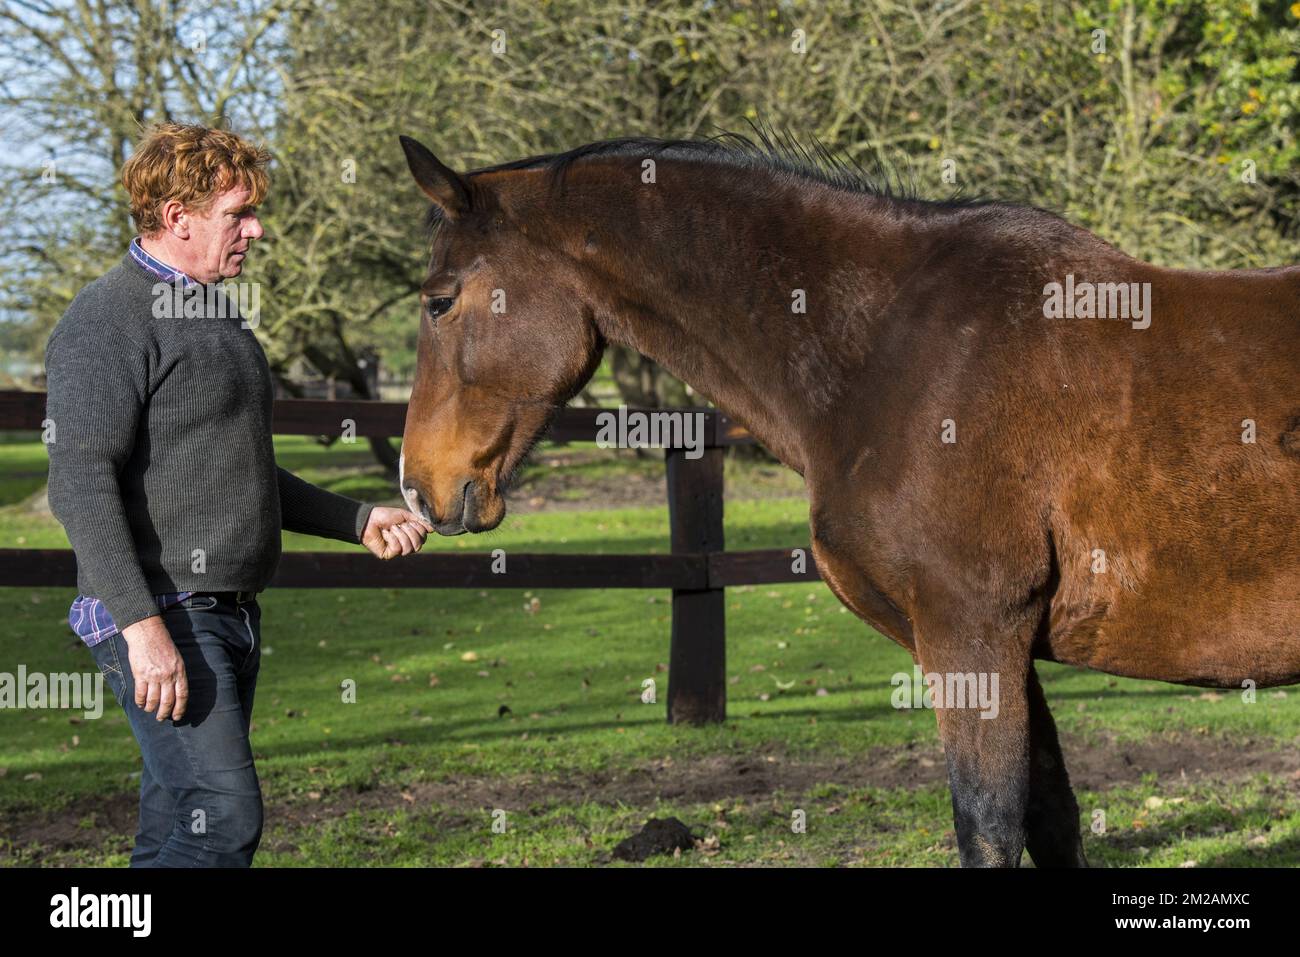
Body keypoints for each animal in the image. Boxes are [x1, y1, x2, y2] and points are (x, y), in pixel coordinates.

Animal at [395, 129, 1300, 867]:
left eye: (440, 300)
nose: (420, 487)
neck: (891, 350)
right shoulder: (1006, 646)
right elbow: (1050, 818)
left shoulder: (973, 633)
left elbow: (990, 825)